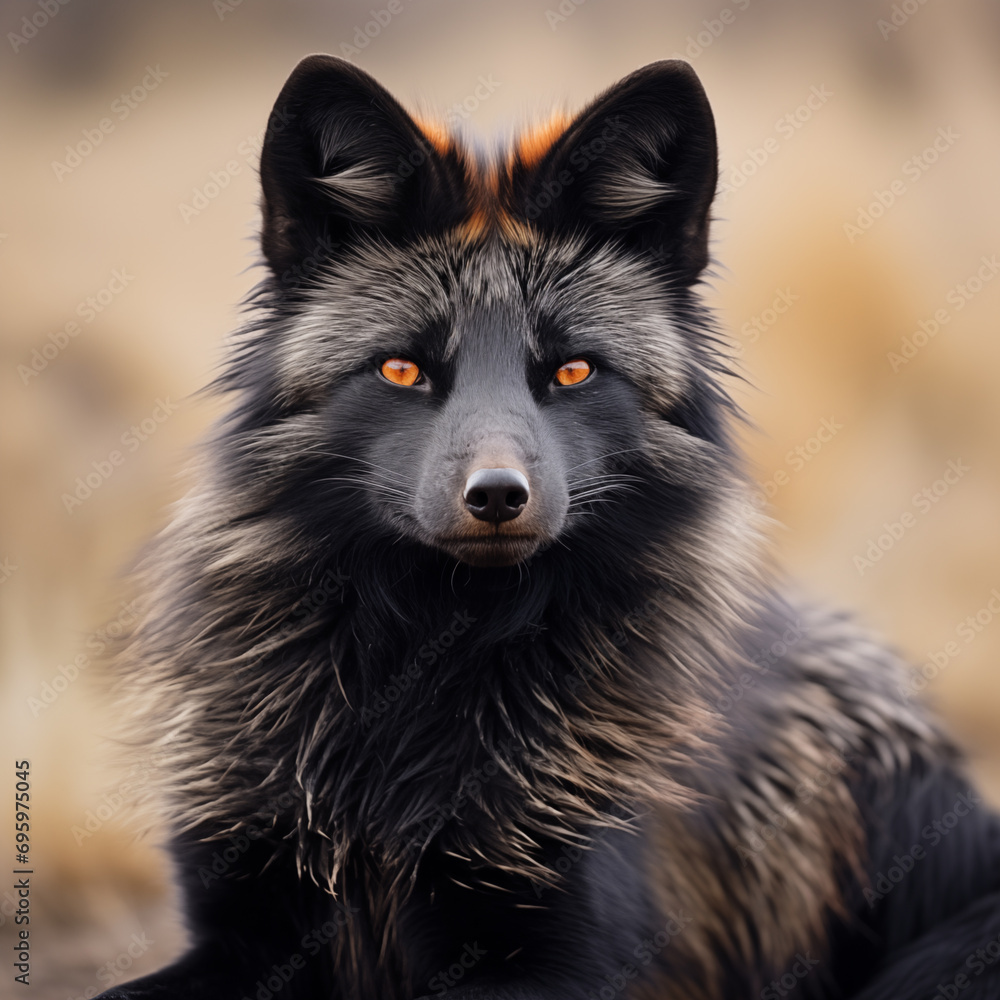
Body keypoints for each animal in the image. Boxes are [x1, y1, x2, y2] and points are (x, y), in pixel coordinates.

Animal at [96, 56, 1000, 999]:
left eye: (572, 371)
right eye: (403, 370)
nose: (498, 496)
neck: (423, 674)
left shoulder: (556, 950)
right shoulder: (241, 927)